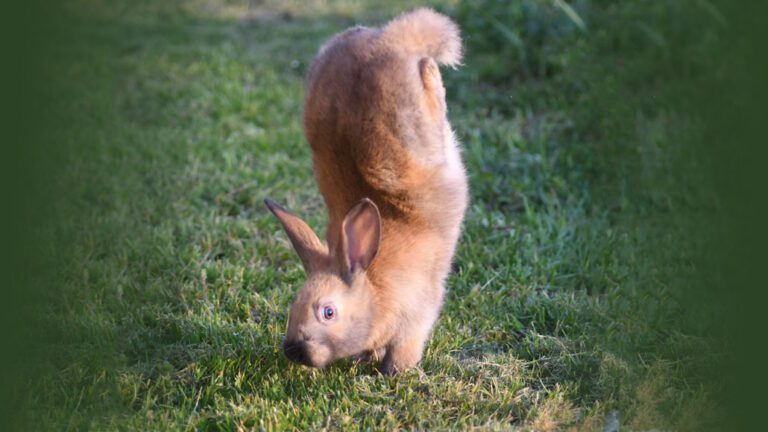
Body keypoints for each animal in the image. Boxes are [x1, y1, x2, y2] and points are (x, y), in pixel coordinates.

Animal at [265, 8, 468, 375]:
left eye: (328, 312)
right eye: (294, 303)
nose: (294, 352)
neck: (373, 289)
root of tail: (389, 40)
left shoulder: (415, 322)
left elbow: (404, 349)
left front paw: (394, 372)